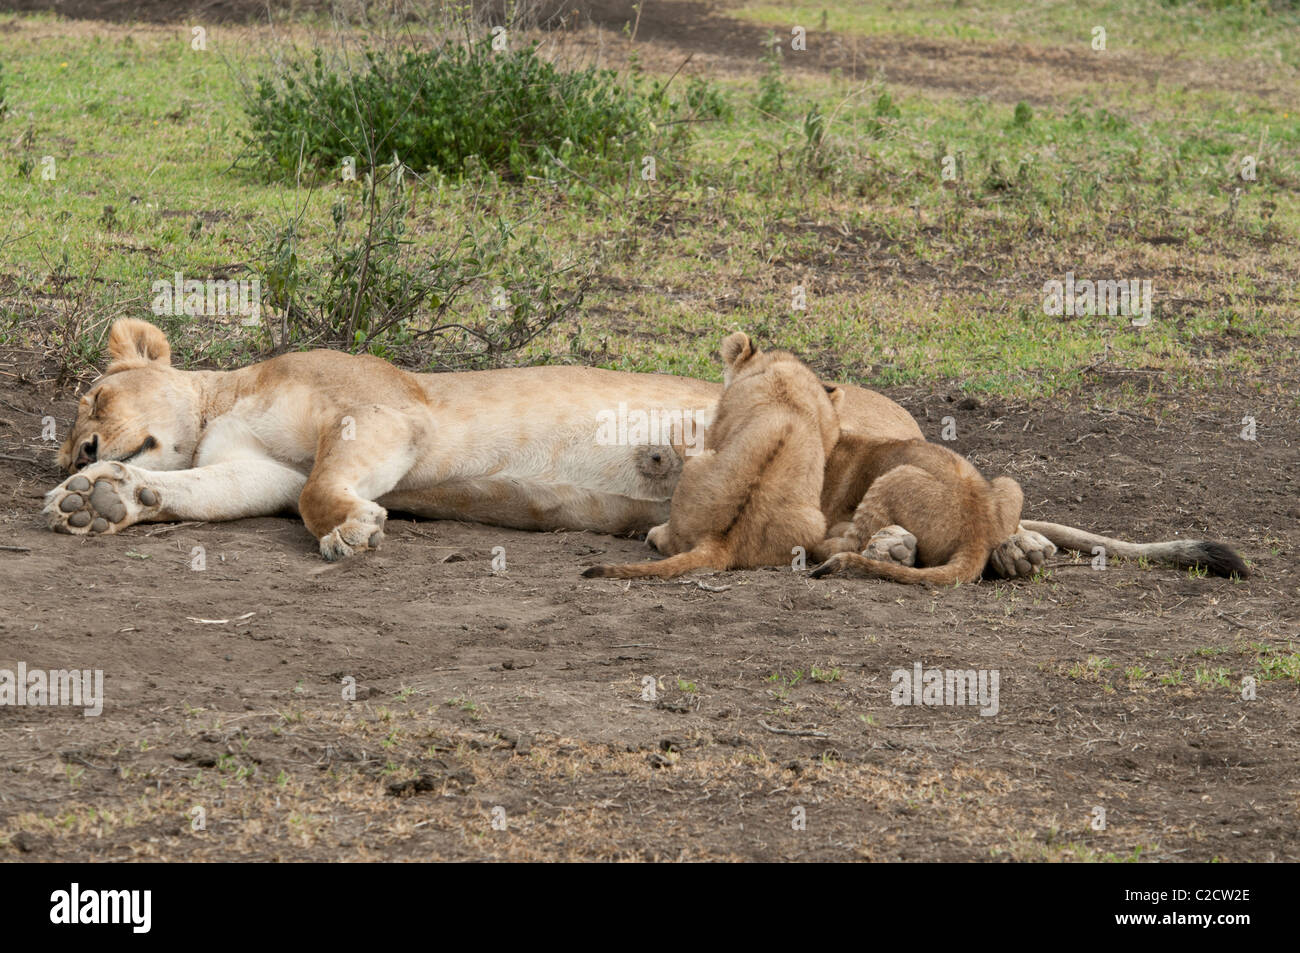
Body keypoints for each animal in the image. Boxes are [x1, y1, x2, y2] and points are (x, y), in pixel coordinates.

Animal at [582, 333, 840, 579]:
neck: (787, 377)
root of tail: (720, 541)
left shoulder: (720, 421)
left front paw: (683, 426)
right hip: (815, 523)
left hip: (699, 464)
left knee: (672, 543)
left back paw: (655, 533)